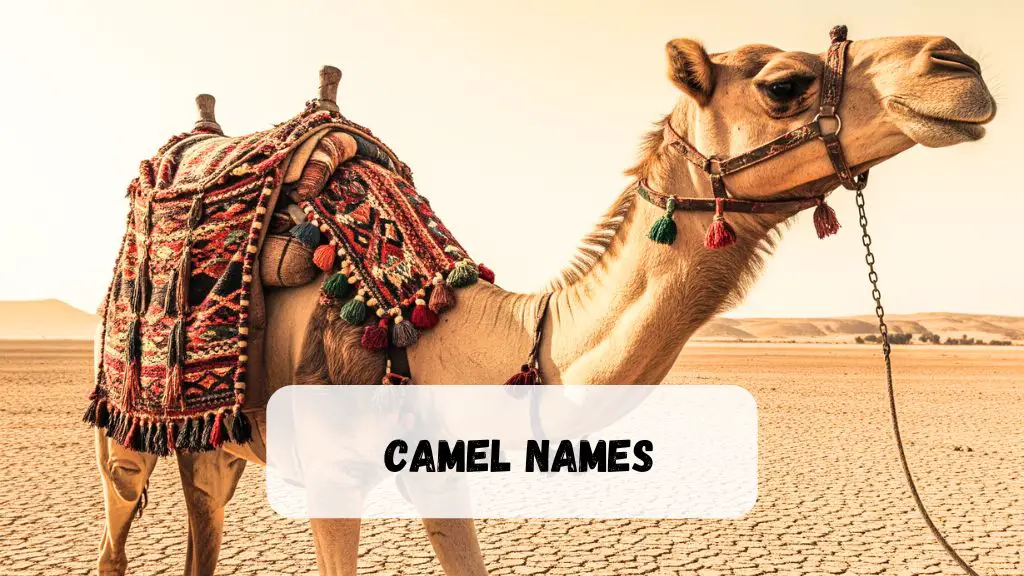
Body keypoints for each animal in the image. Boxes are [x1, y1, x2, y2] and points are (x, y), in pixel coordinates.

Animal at [92, 28, 995, 576]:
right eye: (784, 84)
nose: (958, 63)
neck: (427, 327)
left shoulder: (442, 476)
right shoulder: (330, 480)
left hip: (213, 444)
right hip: (124, 426)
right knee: (119, 534)